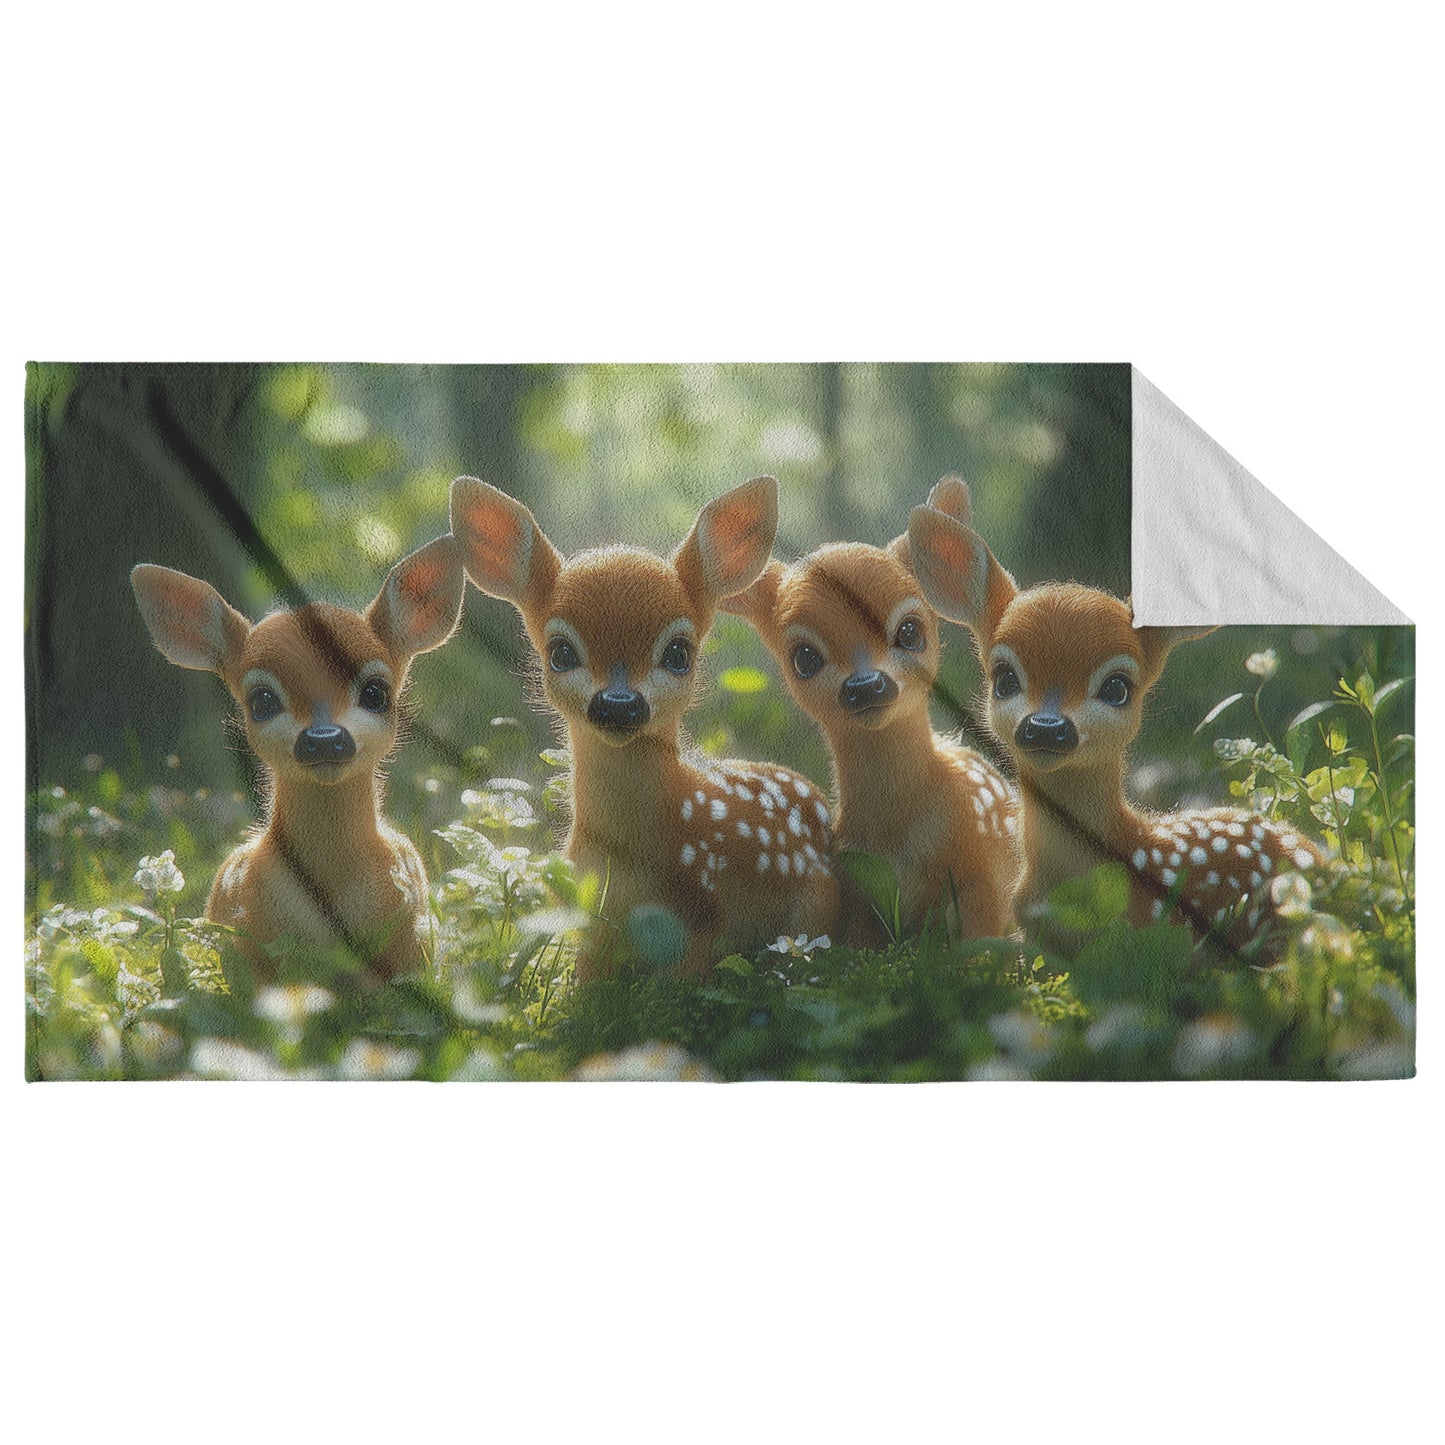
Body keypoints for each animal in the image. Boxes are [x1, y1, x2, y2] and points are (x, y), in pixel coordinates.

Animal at [719, 477, 1020, 944]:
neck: (898, 834)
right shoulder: (859, 893)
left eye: (910, 631)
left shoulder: (982, 873)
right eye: (804, 656)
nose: (865, 685)